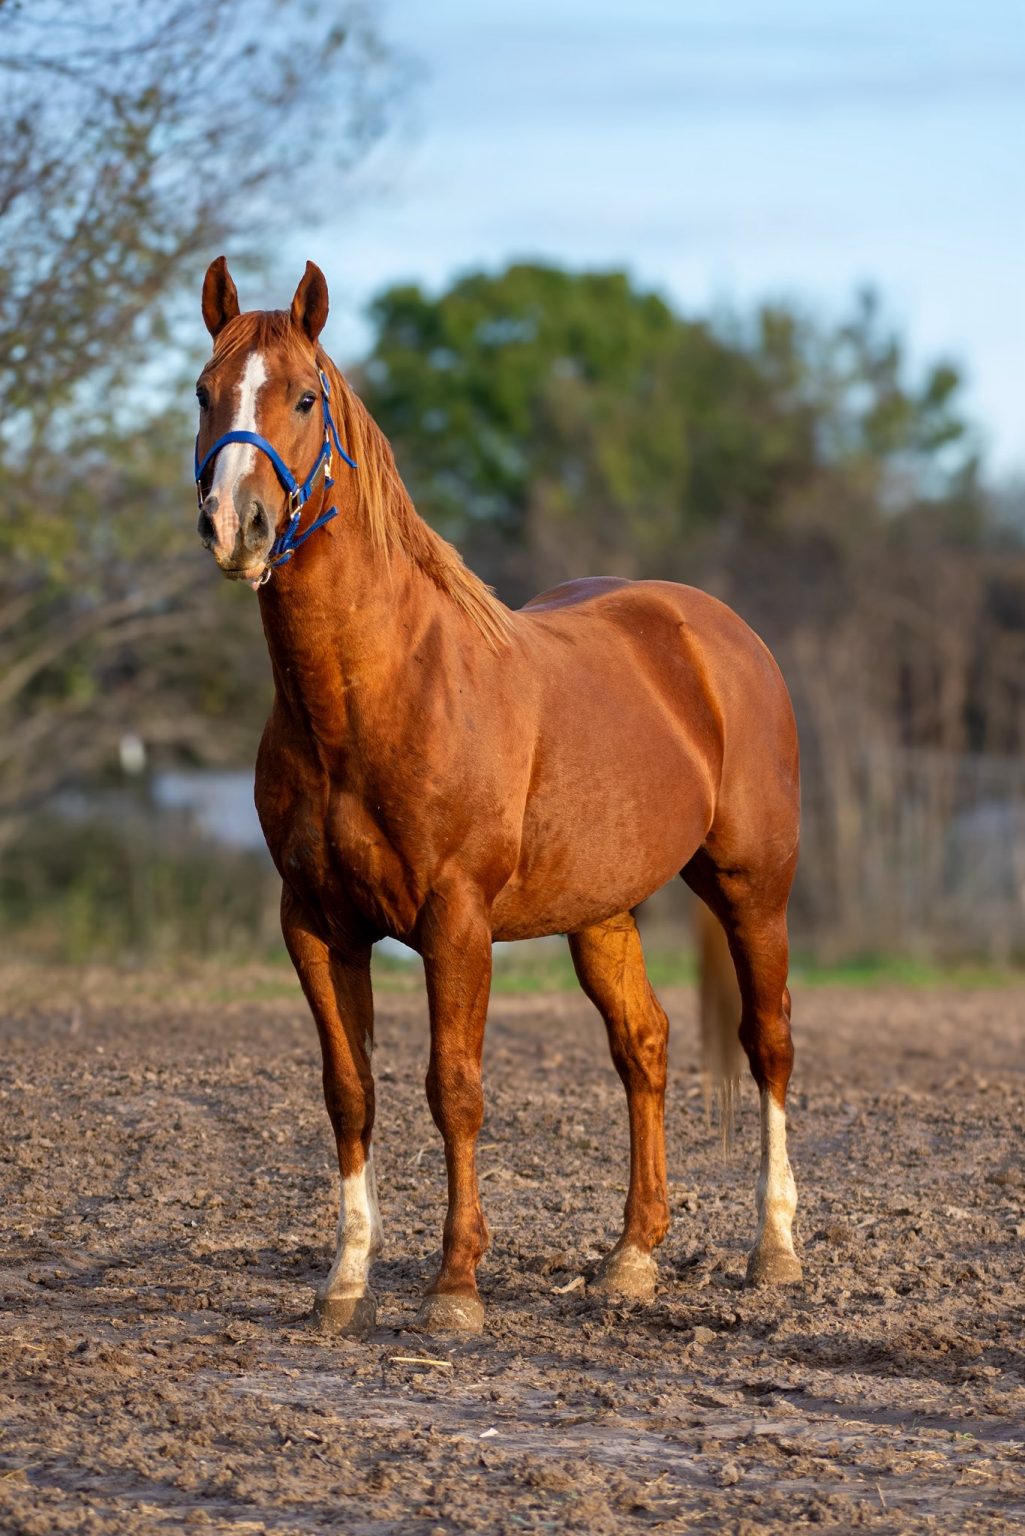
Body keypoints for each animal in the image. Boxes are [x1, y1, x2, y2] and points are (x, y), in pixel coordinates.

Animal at [193, 257, 802, 1334]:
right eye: (201, 392)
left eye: (303, 396)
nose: (237, 526)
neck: (375, 692)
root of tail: (712, 630)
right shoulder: (313, 923)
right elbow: (348, 1091)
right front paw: (343, 1284)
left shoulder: (455, 922)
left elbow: (455, 1089)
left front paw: (453, 1290)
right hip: (600, 911)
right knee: (642, 1046)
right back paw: (629, 1258)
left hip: (749, 888)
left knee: (766, 1042)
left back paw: (771, 1251)